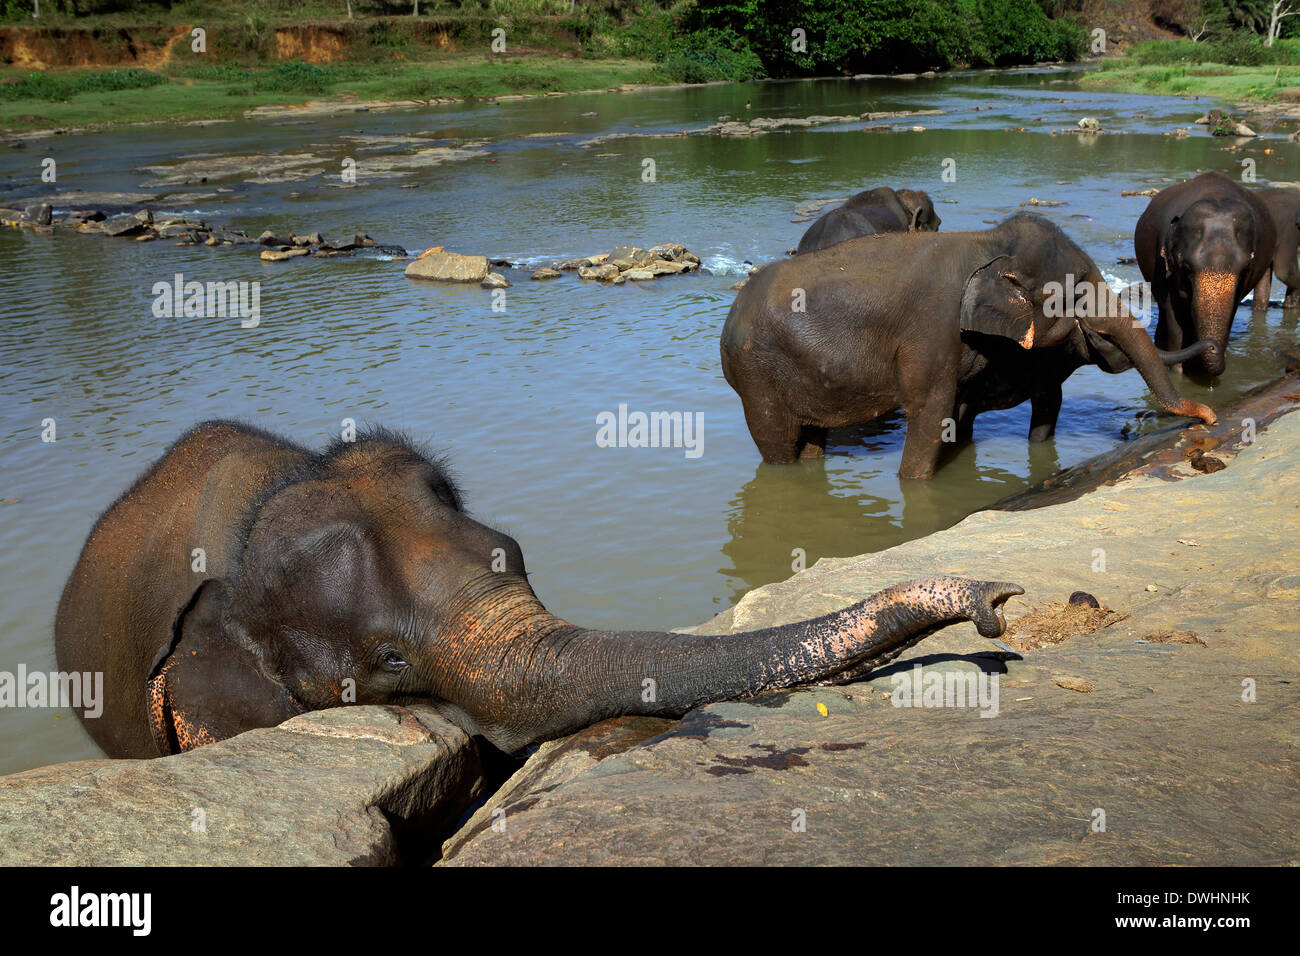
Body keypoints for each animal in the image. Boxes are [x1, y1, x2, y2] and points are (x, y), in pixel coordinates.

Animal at [720, 212, 1217, 479]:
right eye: (1076, 291)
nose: (1210, 417)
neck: (988, 244)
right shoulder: (932, 331)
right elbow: (931, 411)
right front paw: (915, 484)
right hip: (757, 378)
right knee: (777, 445)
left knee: (810, 442)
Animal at [1134, 170, 1276, 377]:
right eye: (1186, 268)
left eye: (1244, 270)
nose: (1212, 347)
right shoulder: (1165, 268)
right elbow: (1174, 311)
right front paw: (1178, 373)